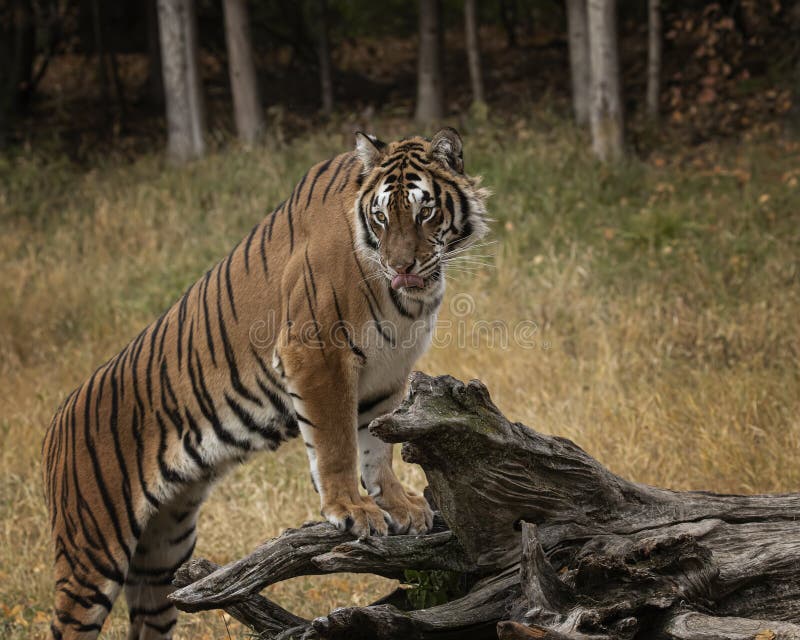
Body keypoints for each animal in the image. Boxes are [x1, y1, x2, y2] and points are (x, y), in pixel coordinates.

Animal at [41, 126, 490, 639]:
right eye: (381, 216)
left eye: (424, 211)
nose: (402, 267)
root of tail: (55, 423)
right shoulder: (315, 350)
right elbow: (336, 443)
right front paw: (351, 511)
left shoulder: (388, 371)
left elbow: (377, 447)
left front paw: (400, 506)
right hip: (93, 551)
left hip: (163, 550)